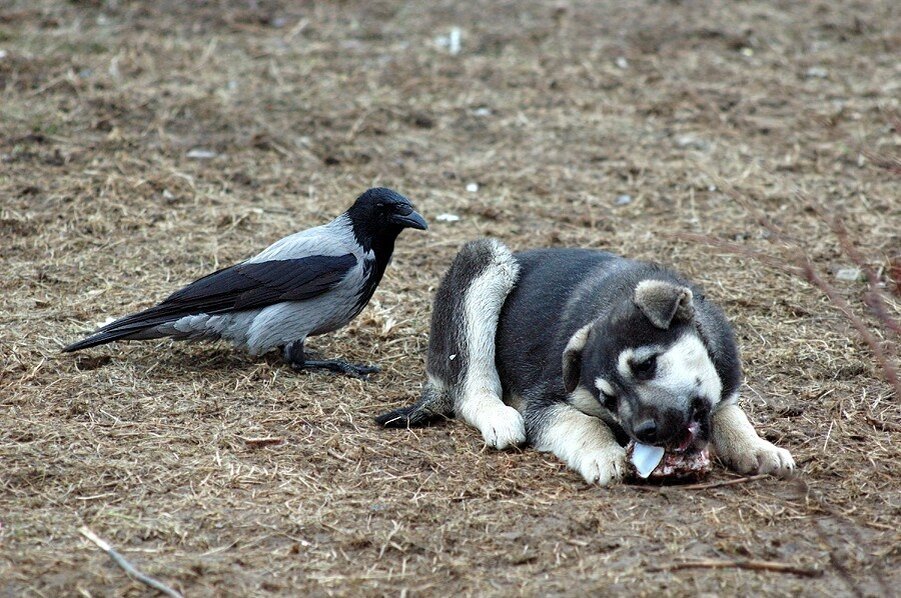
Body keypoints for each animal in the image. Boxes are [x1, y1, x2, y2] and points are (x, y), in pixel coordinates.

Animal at [376, 240, 792, 488]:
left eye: (646, 366)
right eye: (607, 398)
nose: (645, 432)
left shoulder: (723, 385)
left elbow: (729, 414)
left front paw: (758, 448)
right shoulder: (545, 402)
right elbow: (583, 422)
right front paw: (603, 454)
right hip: (484, 262)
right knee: (470, 388)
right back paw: (498, 416)